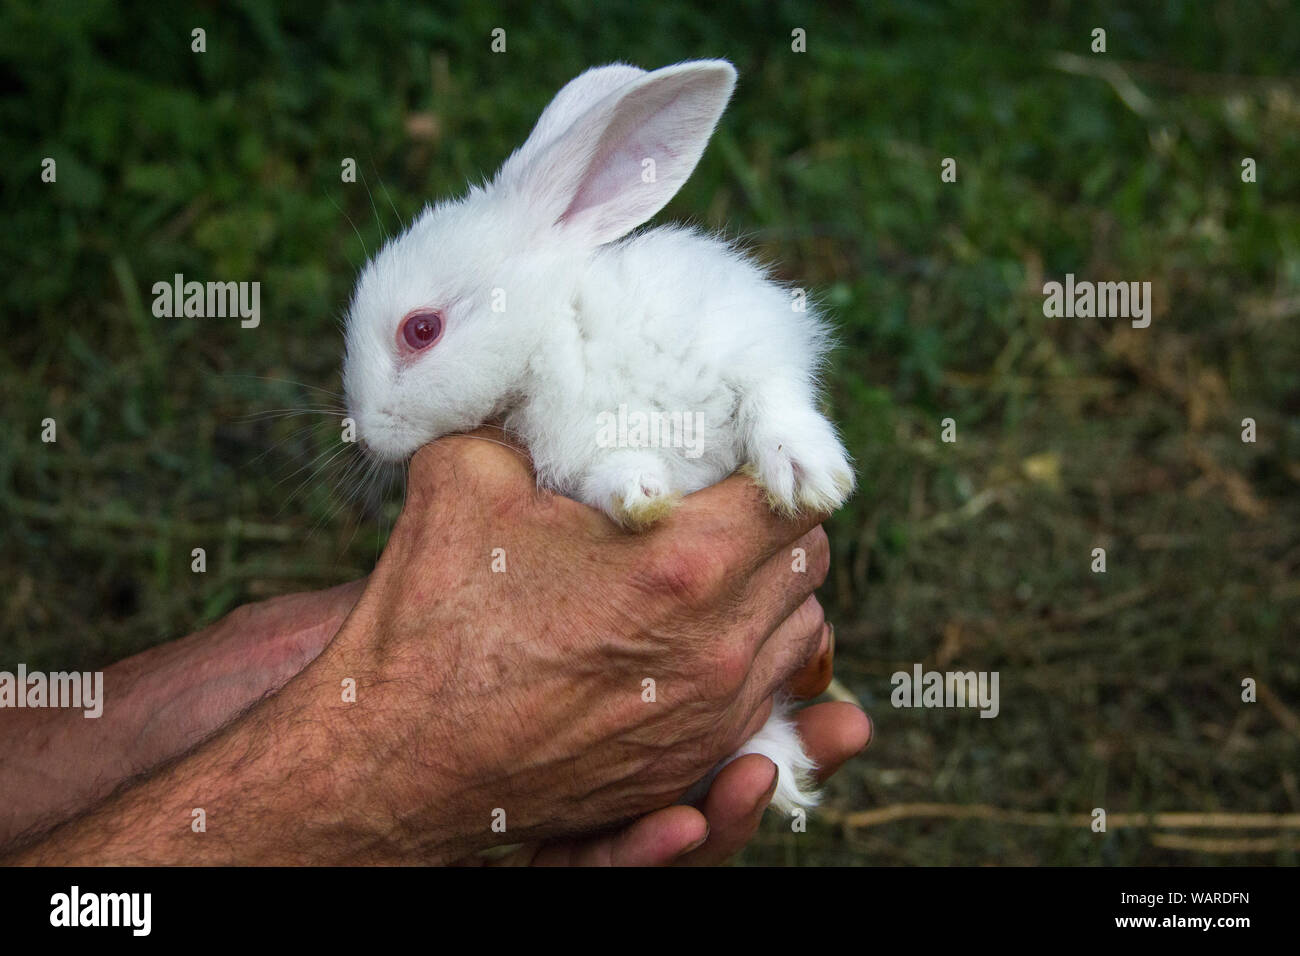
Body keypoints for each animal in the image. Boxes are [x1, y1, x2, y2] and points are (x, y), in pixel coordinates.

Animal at [342, 59, 854, 814]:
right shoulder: (574, 454)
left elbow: (774, 400)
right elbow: (608, 474)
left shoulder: (749, 339)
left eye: (421, 330)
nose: (366, 436)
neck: (561, 328)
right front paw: (642, 494)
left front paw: (809, 473)